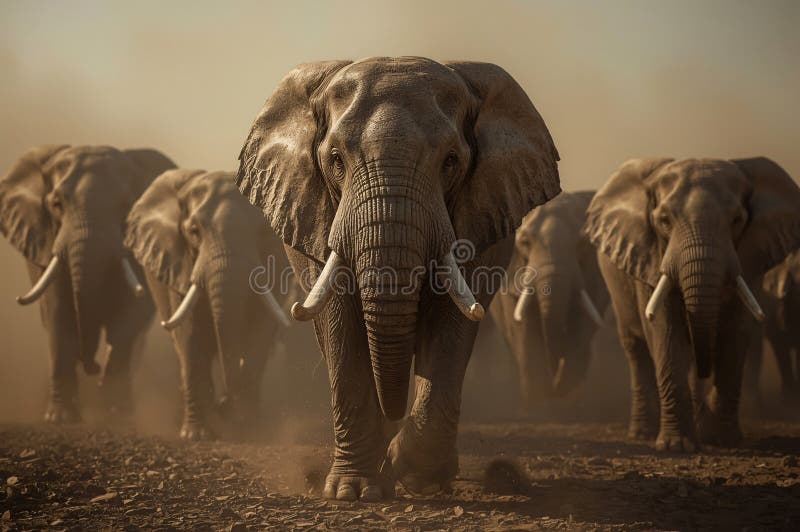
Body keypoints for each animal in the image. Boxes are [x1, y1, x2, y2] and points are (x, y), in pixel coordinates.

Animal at [0, 145, 175, 422]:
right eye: (57, 204)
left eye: (124, 206)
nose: (92, 367)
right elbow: (57, 311)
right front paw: (60, 419)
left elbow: (130, 314)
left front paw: (116, 415)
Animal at [124, 169, 291, 440]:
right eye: (194, 231)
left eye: (262, 231)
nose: (223, 404)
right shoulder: (179, 264)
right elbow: (190, 334)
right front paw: (195, 435)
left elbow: (259, 332)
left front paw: (249, 430)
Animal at [235, 57, 560, 500]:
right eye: (336, 161)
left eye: (451, 161)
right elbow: (340, 325)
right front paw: (352, 491)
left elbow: (451, 326)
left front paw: (415, 474)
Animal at [490, 190, 609, 410]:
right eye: (525, 242)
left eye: (580, 244)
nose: (555, 392)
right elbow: (522, 326)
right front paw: (538, 401)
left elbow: (581, 321)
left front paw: (565, 395)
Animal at [585, 157, 800, 451]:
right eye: (664, 221)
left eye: (737, 220)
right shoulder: (649, 255)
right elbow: (665, 331)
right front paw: (676, 447)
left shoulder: (751, 255)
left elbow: (737, 331)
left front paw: (722, 440)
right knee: (636, 348)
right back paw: (642, 435)